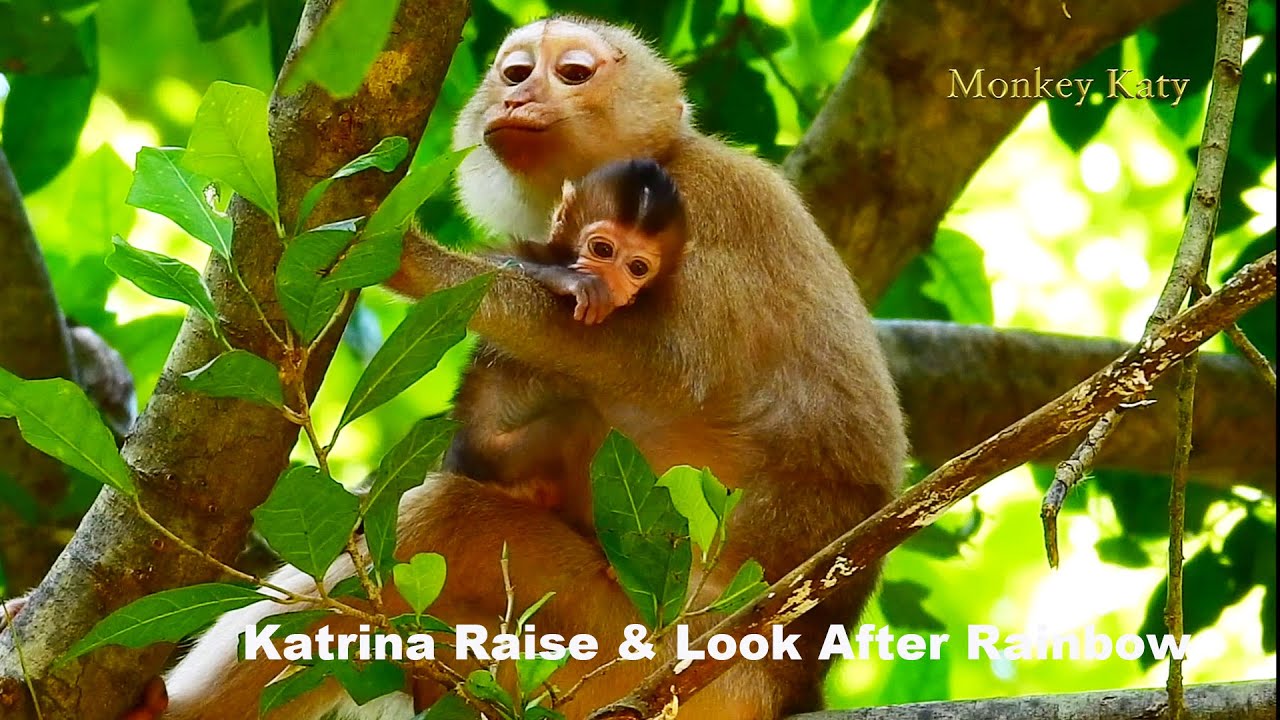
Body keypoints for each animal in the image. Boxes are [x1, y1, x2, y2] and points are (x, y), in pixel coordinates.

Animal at [444, 157, 687, 530]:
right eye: (602, 249)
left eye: (637, 267)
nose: (610, 281)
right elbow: (478, 273)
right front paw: (569, 280)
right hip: (496, 456)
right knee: (580, 418)